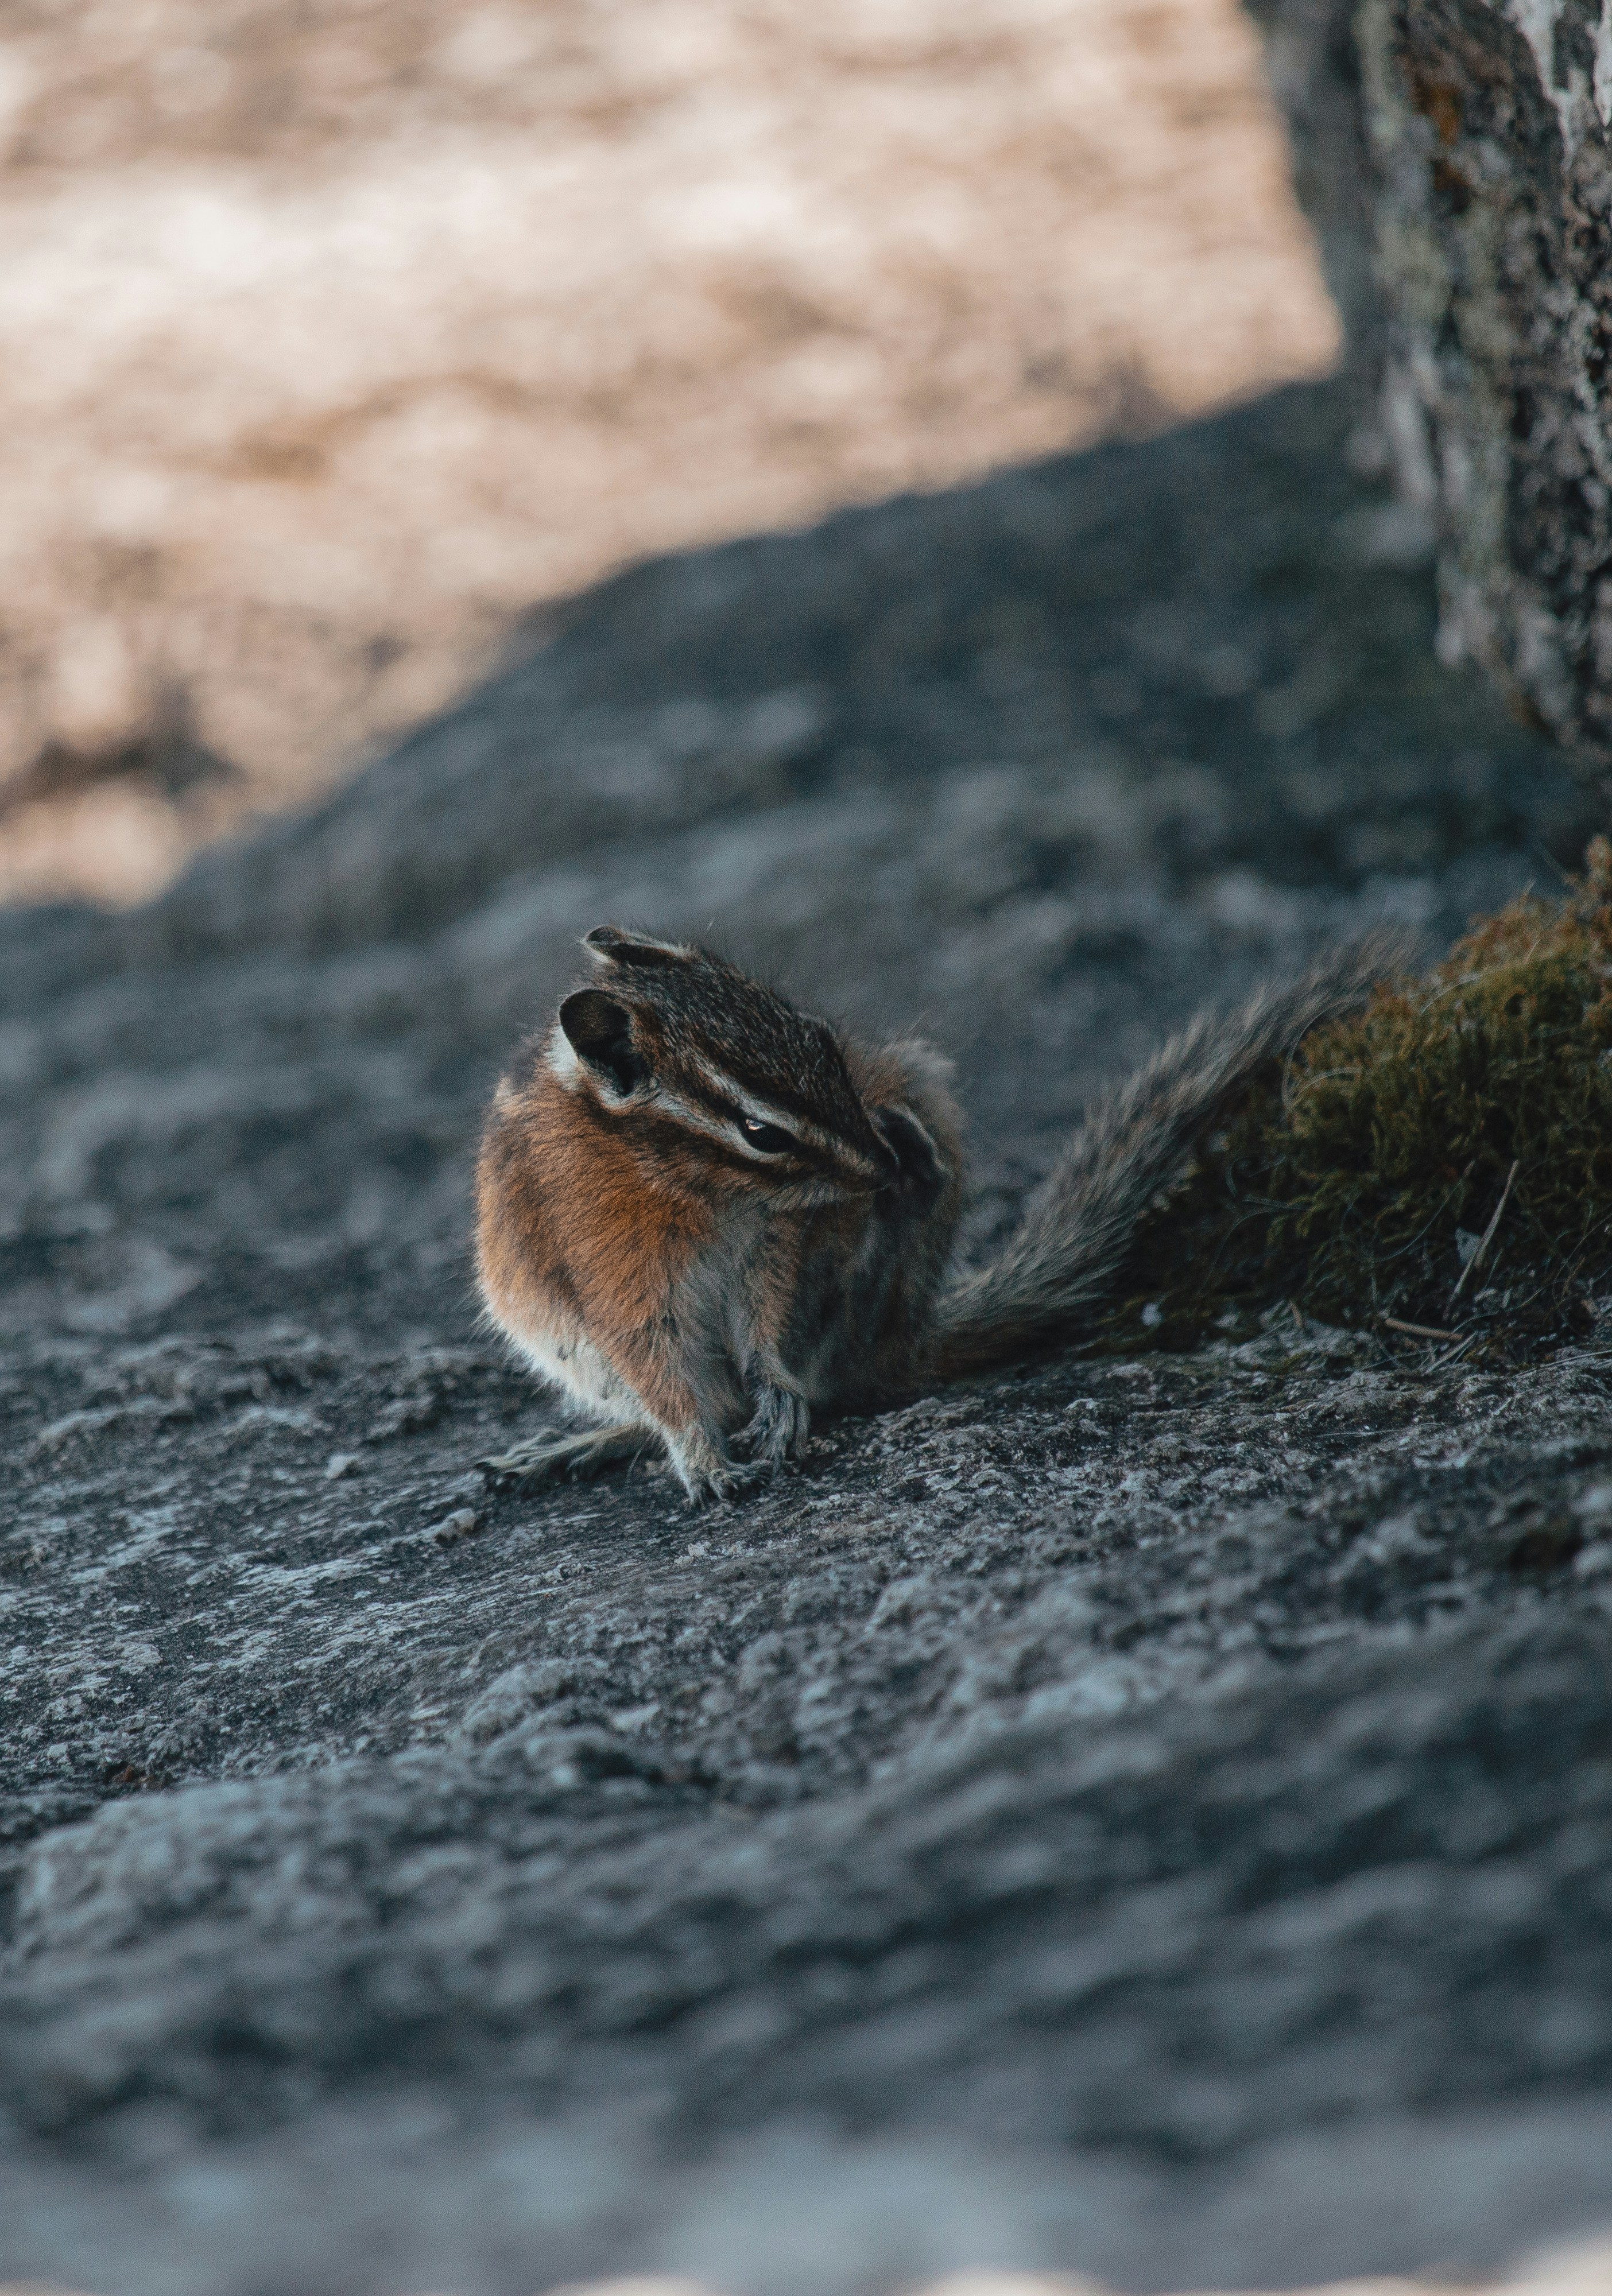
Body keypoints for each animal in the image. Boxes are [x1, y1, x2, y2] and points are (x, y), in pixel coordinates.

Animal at [475, 923, 1403, 1503]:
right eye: (760, 1132)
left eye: (820, 1039)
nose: (874, 1168)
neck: (704, 1189)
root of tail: (903, 1339)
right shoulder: (619, 1279)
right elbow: (664, 1378)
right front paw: (702, 1461)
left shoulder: (777, 1242)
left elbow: (766, 1325)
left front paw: (776, 1386)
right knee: (679, 1401)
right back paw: (580, 1446)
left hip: (910, 1125)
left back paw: (915, 1167)